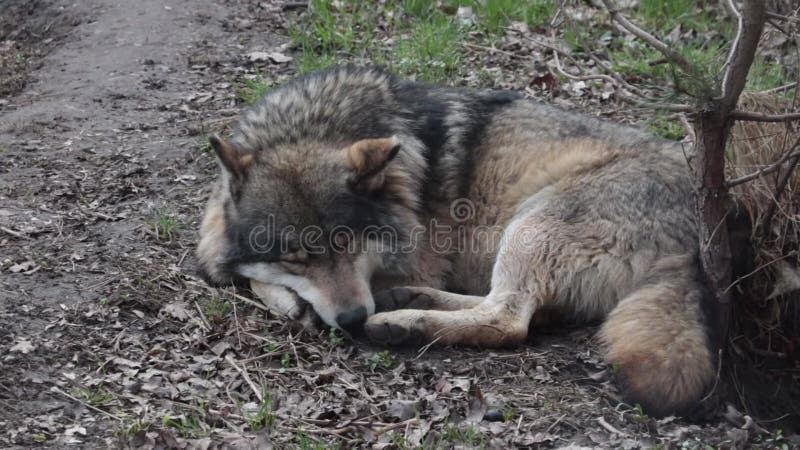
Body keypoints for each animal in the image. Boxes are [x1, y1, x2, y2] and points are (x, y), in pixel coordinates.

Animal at [197, 65, 717, 417]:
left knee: (508, 319)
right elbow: (241, 271)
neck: (321, 126)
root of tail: (701, 238)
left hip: (531, 224)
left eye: (348, 244)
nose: (351, 319)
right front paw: (290, 299)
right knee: (510, 308)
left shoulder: (415, 257)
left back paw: (403, 323)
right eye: (297, 258)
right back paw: (404, 304)